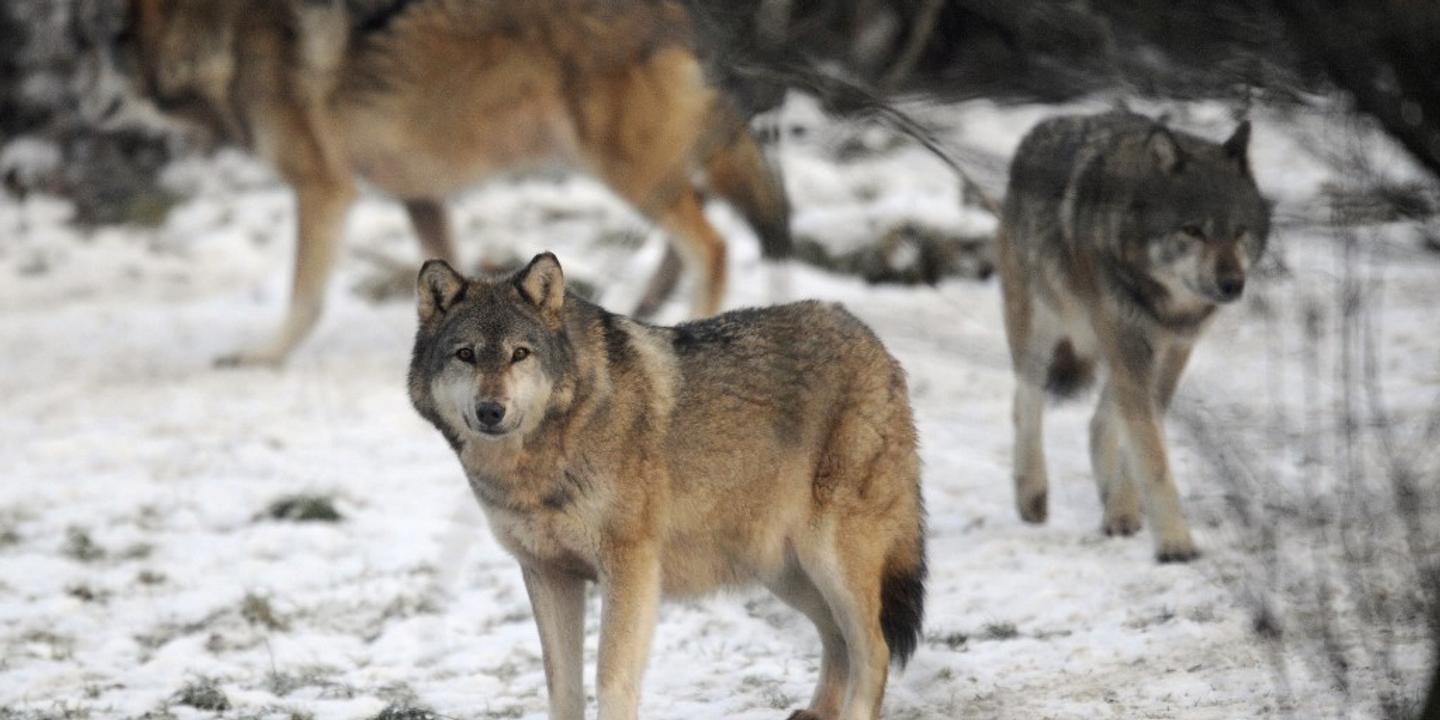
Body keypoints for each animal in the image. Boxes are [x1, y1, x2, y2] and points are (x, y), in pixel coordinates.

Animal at [121, 0, 791, 366]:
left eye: (114, 47)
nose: (127, 115)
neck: (223, 32)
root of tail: (680, 18)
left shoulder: (323, 188)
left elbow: (303, 297)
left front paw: (261, 356)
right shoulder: (421, 197)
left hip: (625, 169)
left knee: (711, 244)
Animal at [408, 252, 925, 720]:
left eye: (520, 354)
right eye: (466, 355)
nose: (490, 411)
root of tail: (870, 338)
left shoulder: (630, 567)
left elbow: (611, 678)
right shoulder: (548, 573)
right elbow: (562, 686)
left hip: (830, 560)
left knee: (874, 650)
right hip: (782, 570)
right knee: (837, 638)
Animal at [996, 111, 1268, 562]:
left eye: (1239, 231)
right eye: (1193, 230)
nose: (1232, 284)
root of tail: (1038, 129)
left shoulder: (1173, 350)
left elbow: (1138, 443)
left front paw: (1124, 511)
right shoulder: (1127, 343)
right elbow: (1150, 452)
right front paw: (1175, 543)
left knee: (1098, 421)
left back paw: (1111, 502)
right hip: (1042, 326)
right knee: (1025, 401)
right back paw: (1031, 494)